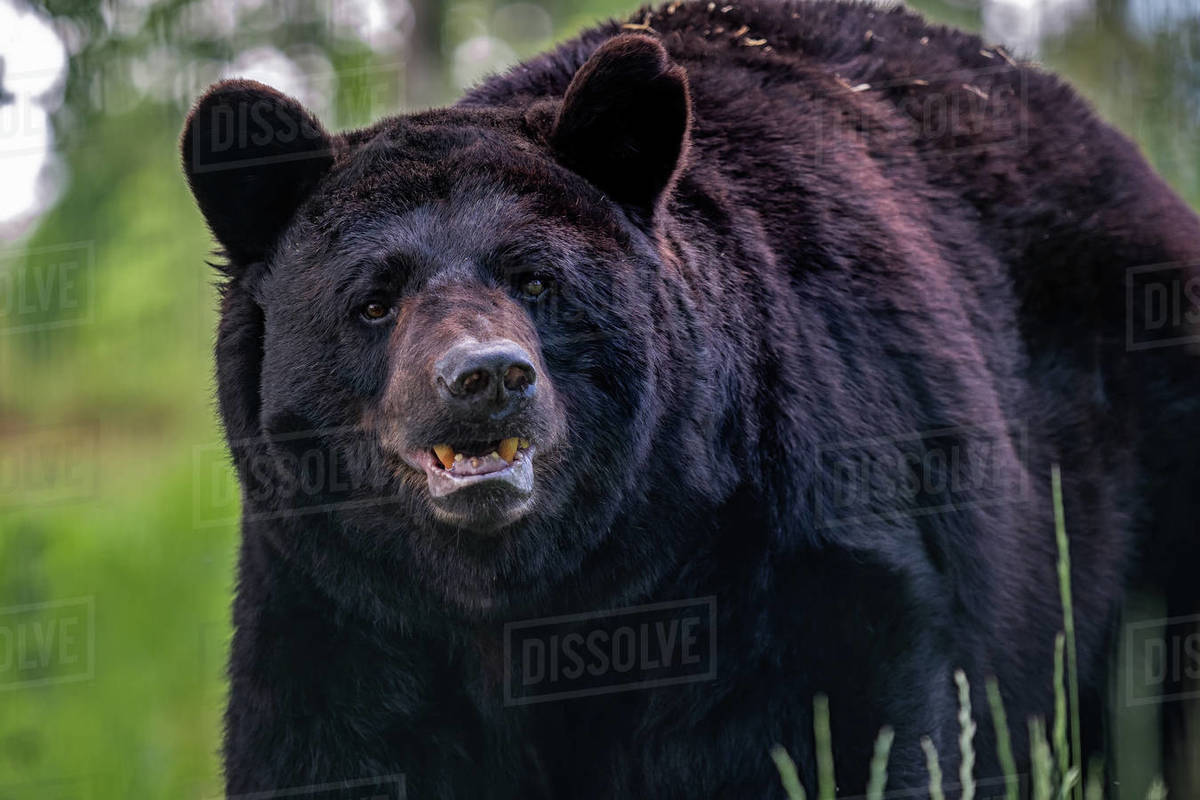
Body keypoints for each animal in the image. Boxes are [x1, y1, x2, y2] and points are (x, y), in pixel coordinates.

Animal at [181, 1, 1200, 797]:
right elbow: (328, 750)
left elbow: (847, 732)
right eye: (374, 299)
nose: (487, 378)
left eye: (537, 279)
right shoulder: (344, 608)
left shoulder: (789, 558)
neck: (537, 596)